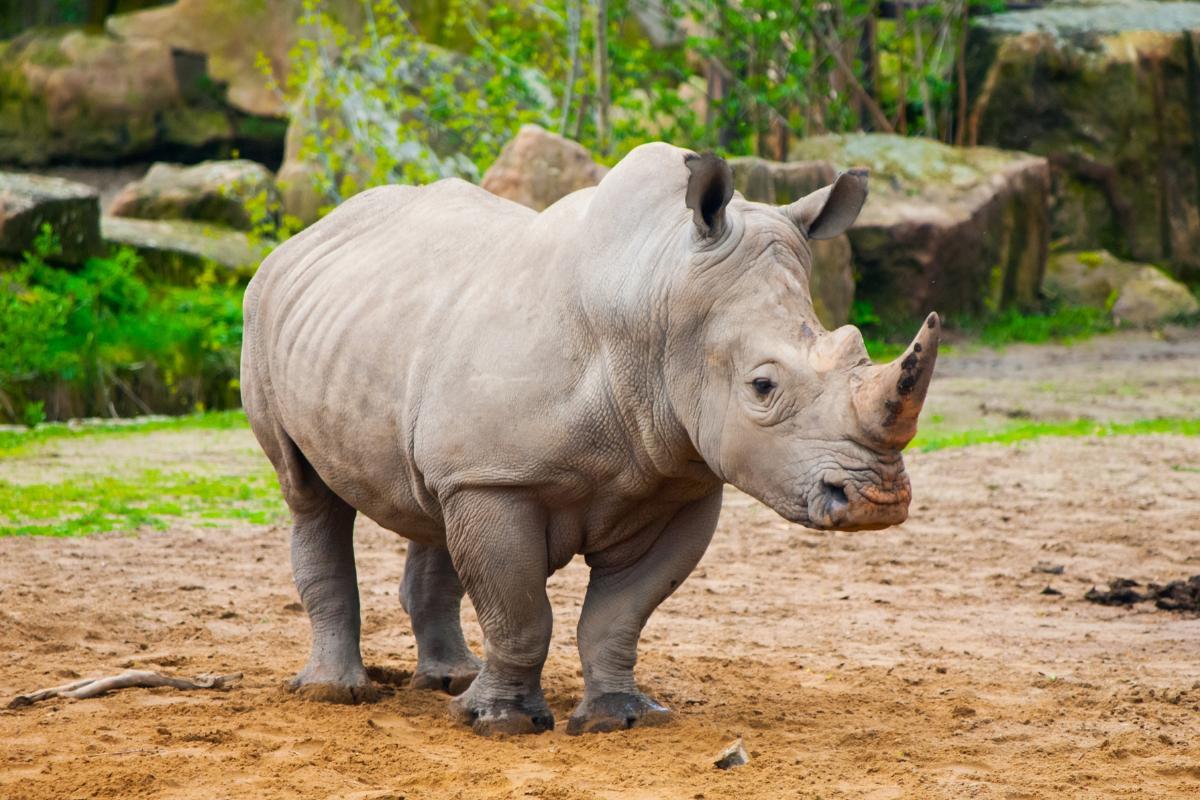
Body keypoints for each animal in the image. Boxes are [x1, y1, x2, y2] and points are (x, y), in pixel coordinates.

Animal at [241, 143, 939, 736]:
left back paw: (450, 682)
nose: (878, 501)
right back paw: (336, 693)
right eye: (762, 386)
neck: (657, 304)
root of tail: (313, 231)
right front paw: (502, 724)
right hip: (264, 309)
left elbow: (618, 615)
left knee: (430, 502)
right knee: (308, 495)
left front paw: (620, 718)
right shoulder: (498, 480)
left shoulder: (677, 480)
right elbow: (520, 612)